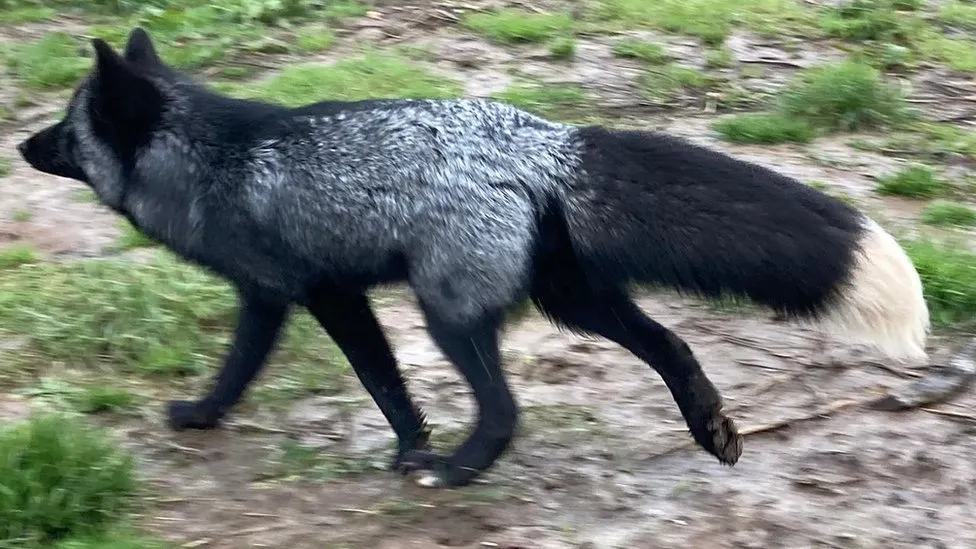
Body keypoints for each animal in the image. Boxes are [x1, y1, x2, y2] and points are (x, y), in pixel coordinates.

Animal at [18, 28, 930, 489]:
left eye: (65, 129)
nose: (21, 146)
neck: (215, 158)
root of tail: (544, 139)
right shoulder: (313, 294)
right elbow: (376, 385)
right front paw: (407, 448)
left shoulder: (299, 294)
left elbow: (318, 375)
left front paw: (205, 414)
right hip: (571, 301)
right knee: (672, 343)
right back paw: (713, 430)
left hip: (450, 314)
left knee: (505, 408)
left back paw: (460, 469)